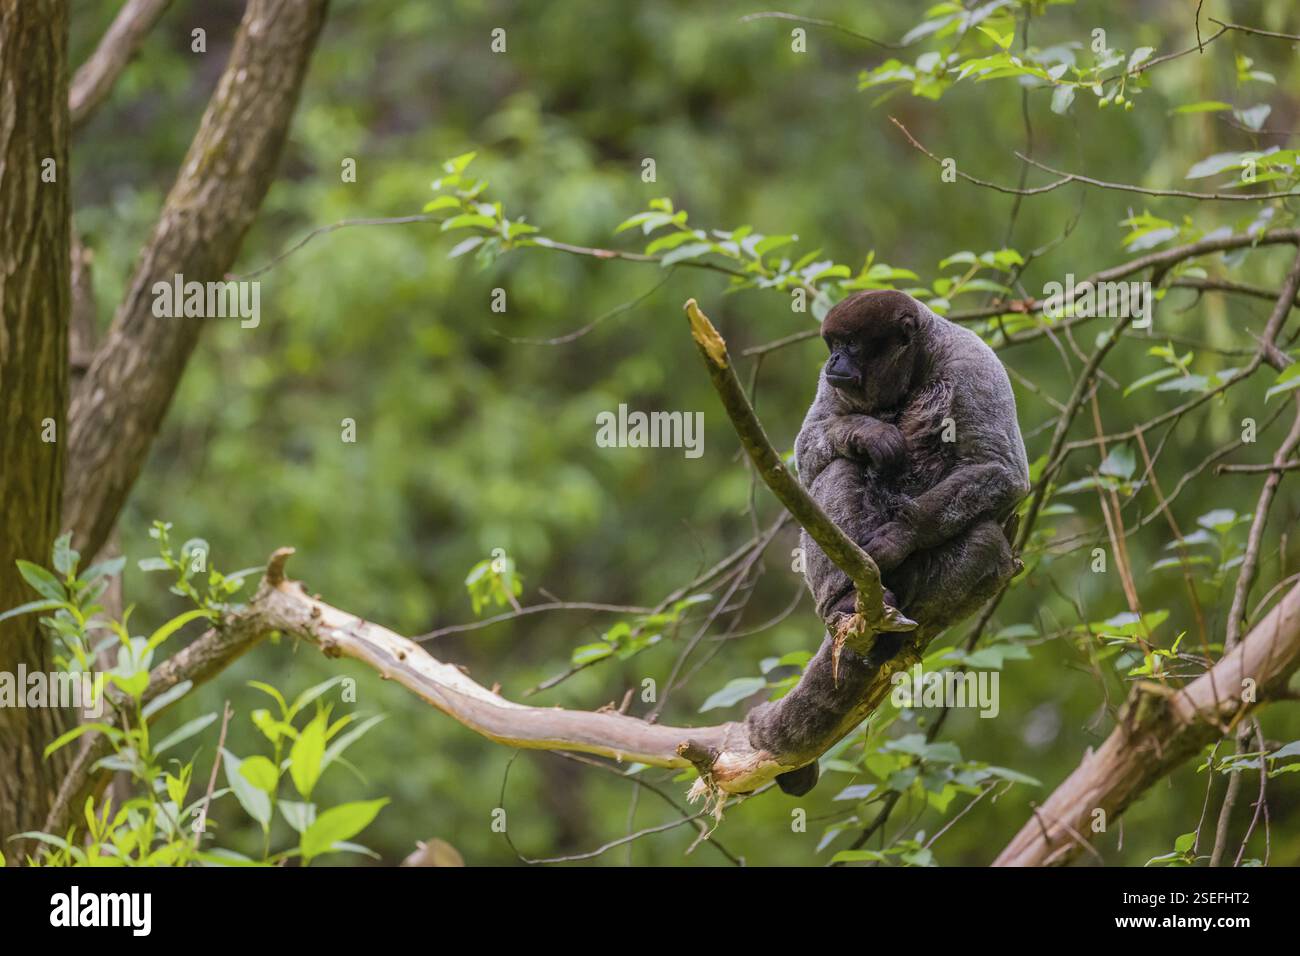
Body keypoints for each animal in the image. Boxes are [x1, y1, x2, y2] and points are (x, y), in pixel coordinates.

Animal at [750, 290, 1030, 796]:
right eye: (833, 346)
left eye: (852, 345)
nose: (834, 360)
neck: (917, 369)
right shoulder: (832, 387)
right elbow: (807, 449)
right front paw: (867, 432)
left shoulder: (975, 364)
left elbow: (1002, 469)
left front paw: (898, 538)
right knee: (842, 466)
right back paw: (842, 603)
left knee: (986, 544)